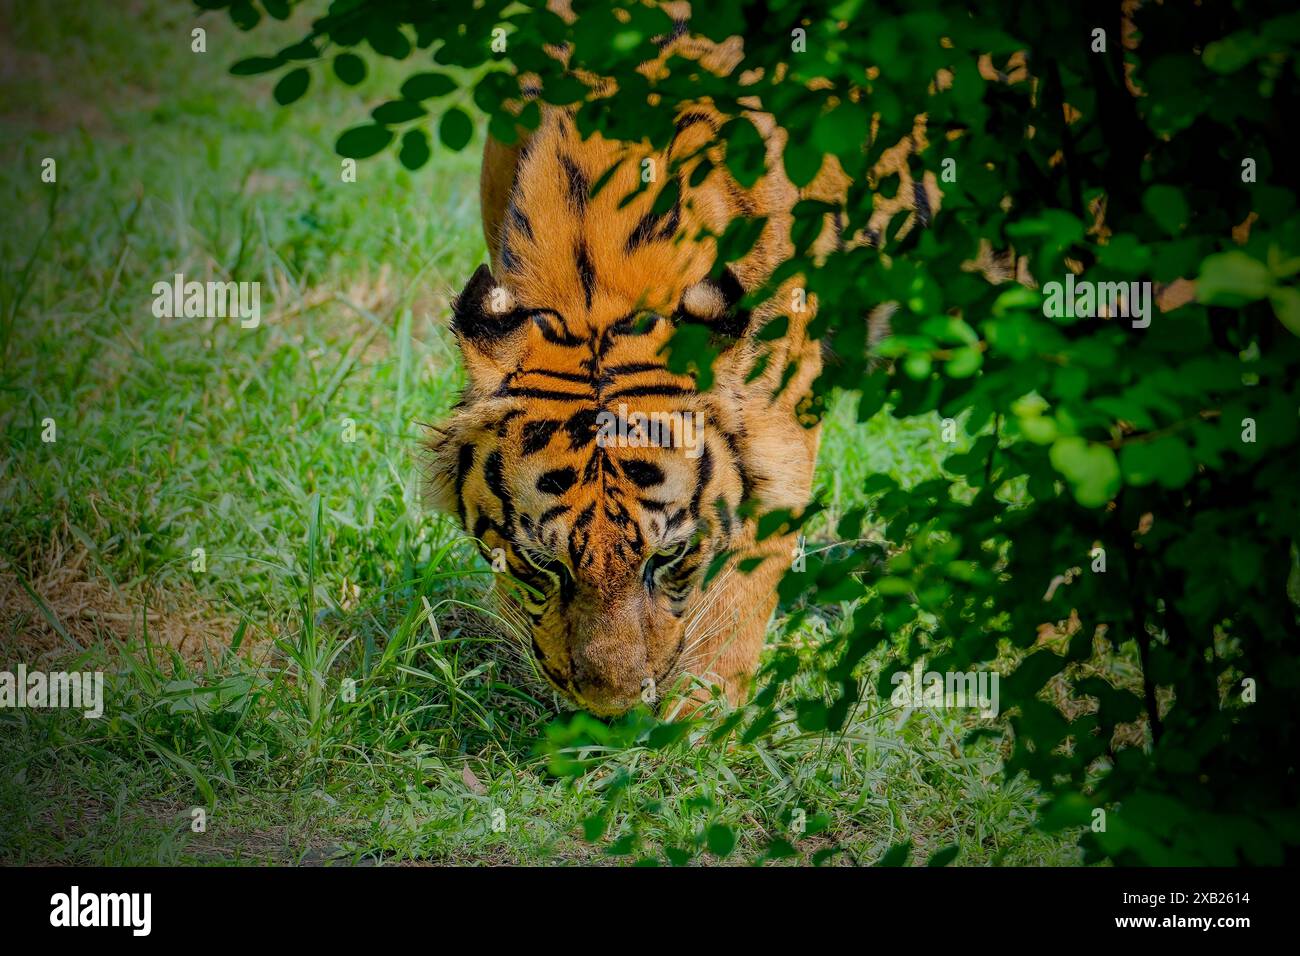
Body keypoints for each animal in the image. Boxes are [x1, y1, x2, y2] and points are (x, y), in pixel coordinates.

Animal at [425, 2, 938, 717]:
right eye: (543, 564)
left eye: (669, 557)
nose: (611, 708)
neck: (596, 283)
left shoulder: (778, 427)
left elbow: (737, 597)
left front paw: (698, 720)